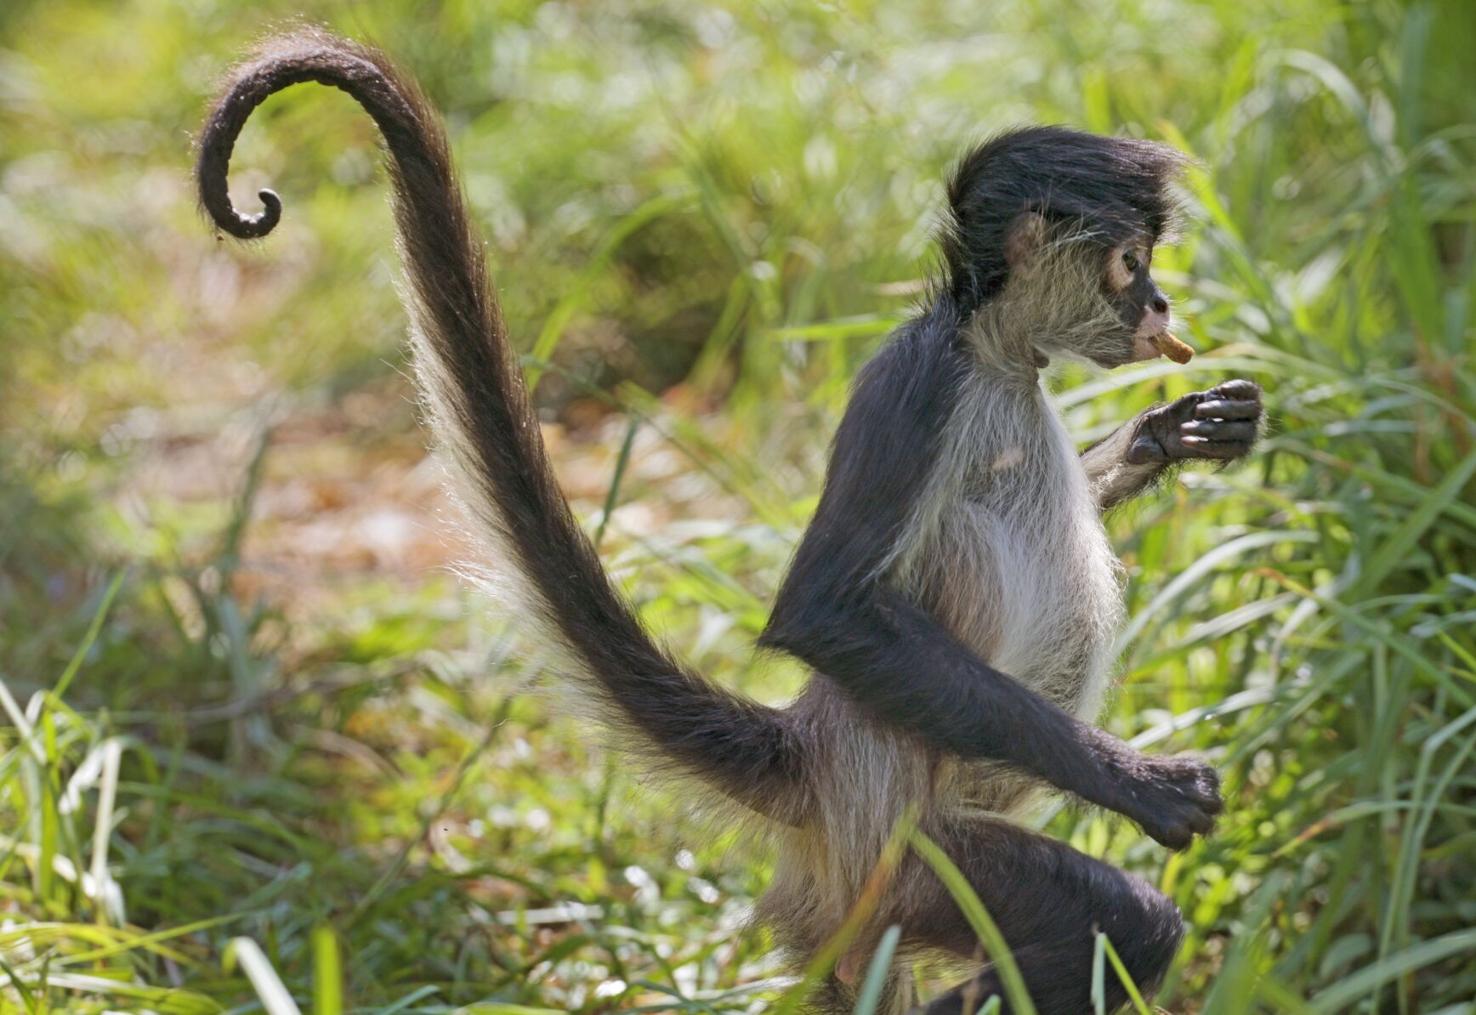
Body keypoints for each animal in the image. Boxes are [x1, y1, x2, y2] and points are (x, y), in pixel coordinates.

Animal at [195, 30, 1263, 1015]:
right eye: (1132, 263)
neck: (994, 357)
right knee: (1122, 922)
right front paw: (1142, 783)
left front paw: (1173, 432)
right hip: (900, 861)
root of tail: (813, 750)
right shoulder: (917, 384)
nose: (1161, 301)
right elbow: (820, 612)